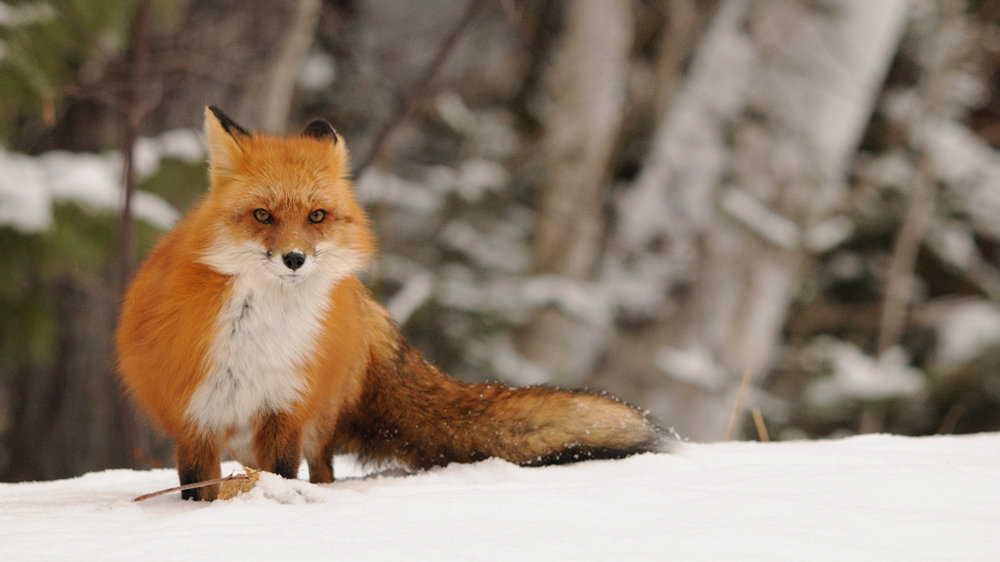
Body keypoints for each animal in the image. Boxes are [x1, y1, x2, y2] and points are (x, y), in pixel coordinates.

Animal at [115, 106, 667, 500]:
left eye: (316, 216)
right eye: (262, 215)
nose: (294, 259)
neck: (260, 333)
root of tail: (362, 303)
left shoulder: (286, 409)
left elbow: (281, 477)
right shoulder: (195, 416)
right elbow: (197, 488)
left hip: (320, 418)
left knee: (323, 471)